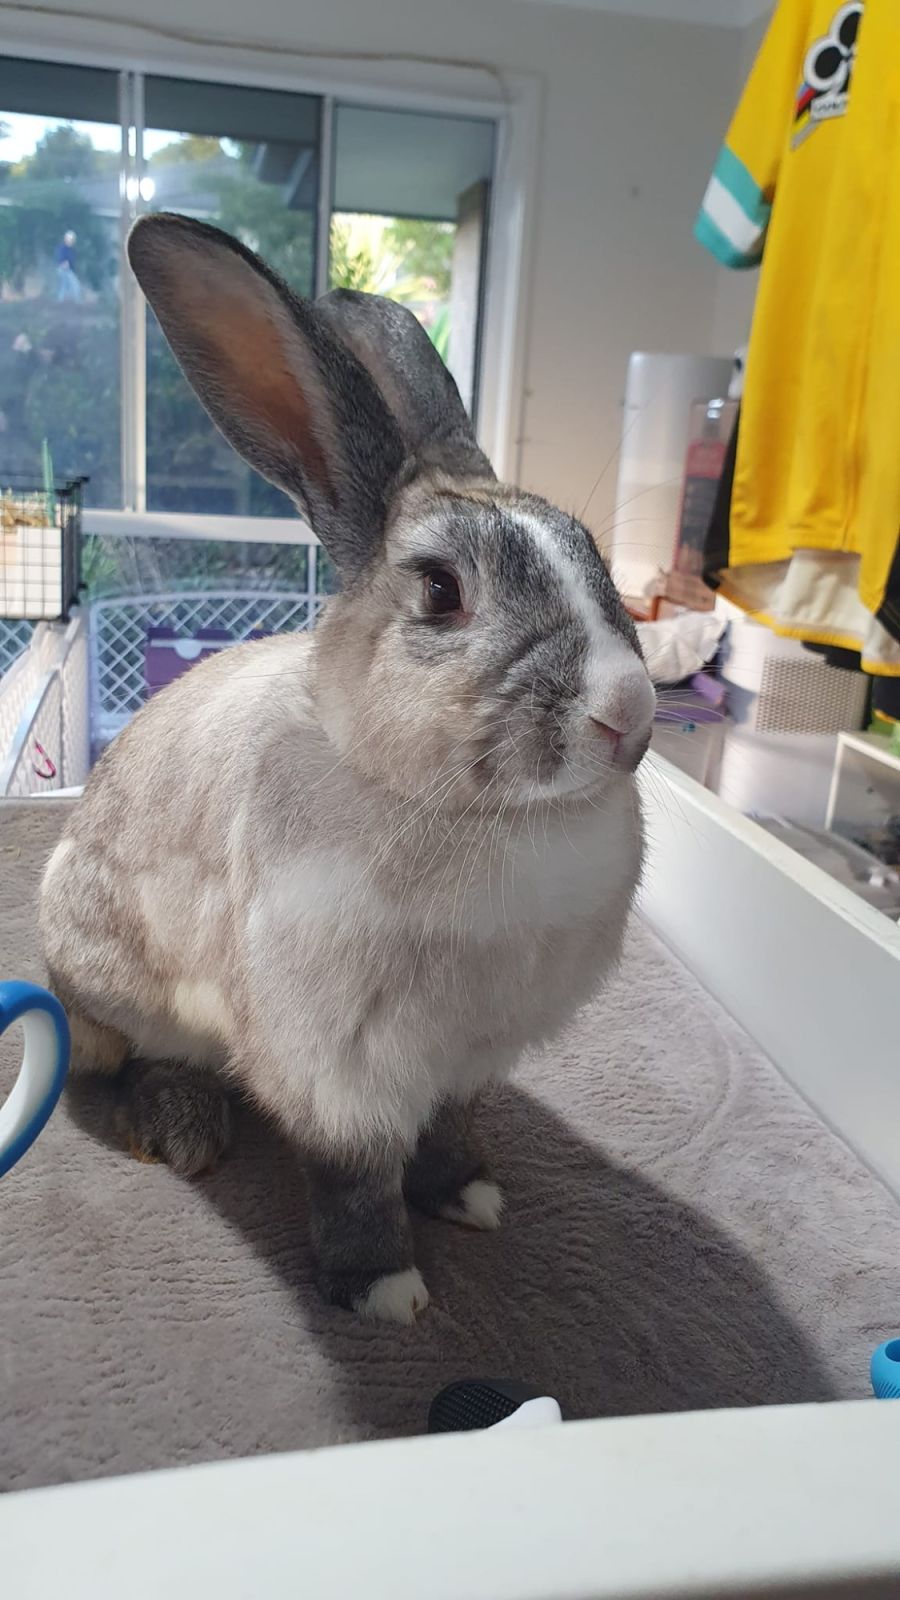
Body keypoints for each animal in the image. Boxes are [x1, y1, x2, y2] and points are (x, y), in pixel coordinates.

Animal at [40, 213, 656, 1325]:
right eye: (443, 592)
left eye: (595, 558)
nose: (627, 714)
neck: (473, 811)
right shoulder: (338, 1068)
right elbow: (353, 1177)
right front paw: (386, 1289)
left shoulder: (462, 1059)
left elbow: (449, 1133)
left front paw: (473, 1194)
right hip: (115, 990)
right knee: (132, 1059)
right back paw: (185, 1129)